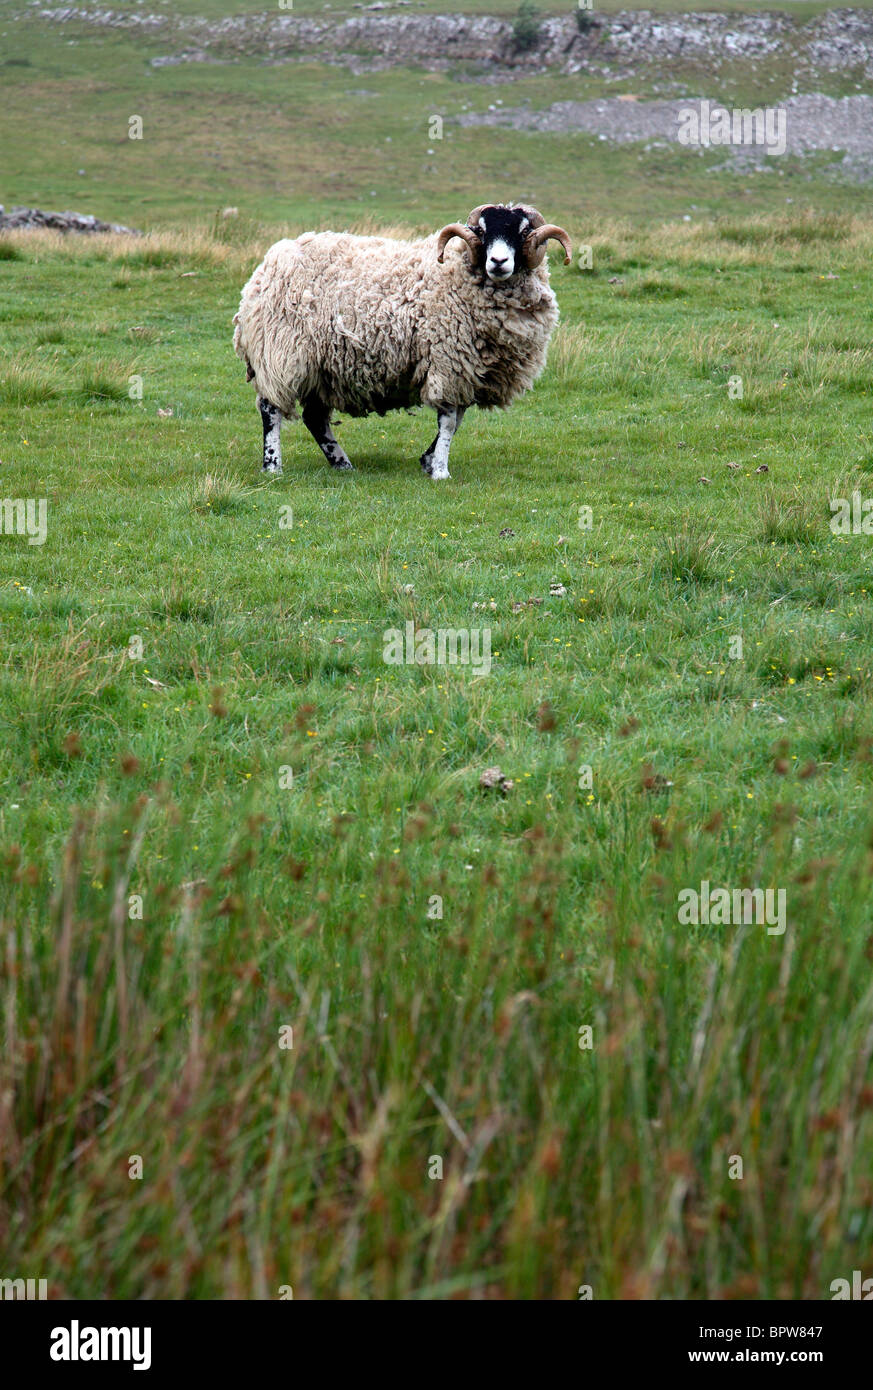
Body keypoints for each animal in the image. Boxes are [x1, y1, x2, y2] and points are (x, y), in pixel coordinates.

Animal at [232, 203, 571, 481]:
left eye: (522, 231)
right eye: (481, 231)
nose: (498, 261)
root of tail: (266, 266)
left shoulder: (468, 371)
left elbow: (458, 419)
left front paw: (428, 460)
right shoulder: (447, 361)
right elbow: (449, 421)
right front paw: (440, 470)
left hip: (321, 366)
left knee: (314, 418)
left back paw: (342, 464)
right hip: (280, 353)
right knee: (271, 408)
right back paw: (272, 465)